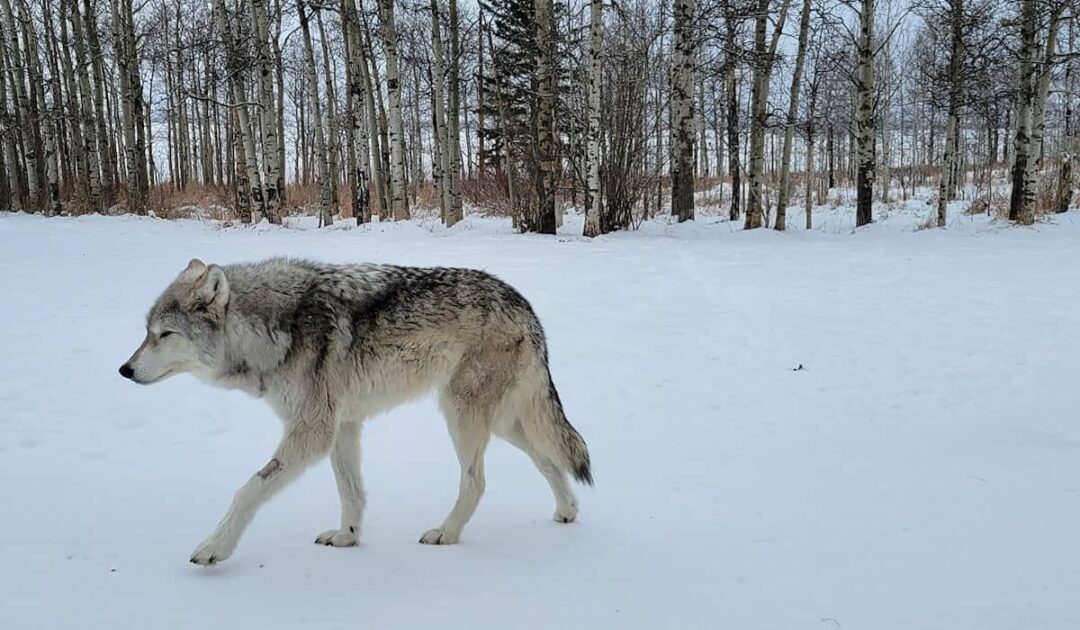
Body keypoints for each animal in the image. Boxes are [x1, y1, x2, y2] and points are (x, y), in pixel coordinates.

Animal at [119, 258, 592, 565]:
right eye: (146, 332)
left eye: (164, 334)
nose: (124, 370)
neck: (276, 330)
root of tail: (526, 306)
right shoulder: (341, 427)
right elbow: (351, 491)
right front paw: (347, 539)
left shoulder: (312, 431)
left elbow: (248, 489)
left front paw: (214, 547)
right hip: (505, 423)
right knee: (550, 460)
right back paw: (567, 511)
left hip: (462, 415)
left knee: (477, 481)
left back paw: (446, 533)